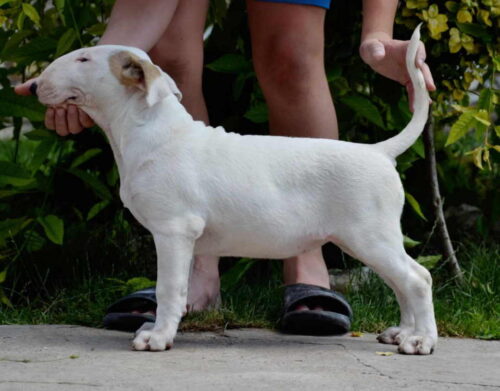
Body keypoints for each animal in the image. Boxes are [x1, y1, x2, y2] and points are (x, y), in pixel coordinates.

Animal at [35, 24, 436, 356]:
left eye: (84, 59)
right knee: (401, 283)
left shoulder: (173, 230)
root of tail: (379, 151)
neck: (151, 129)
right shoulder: (184, 238)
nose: (35, 86)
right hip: (370, 241)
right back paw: (401, 332)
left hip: (370, 236)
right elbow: (180, 288)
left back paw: (421, 341)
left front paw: (157, 338)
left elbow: (168, 288)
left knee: (417, 279)